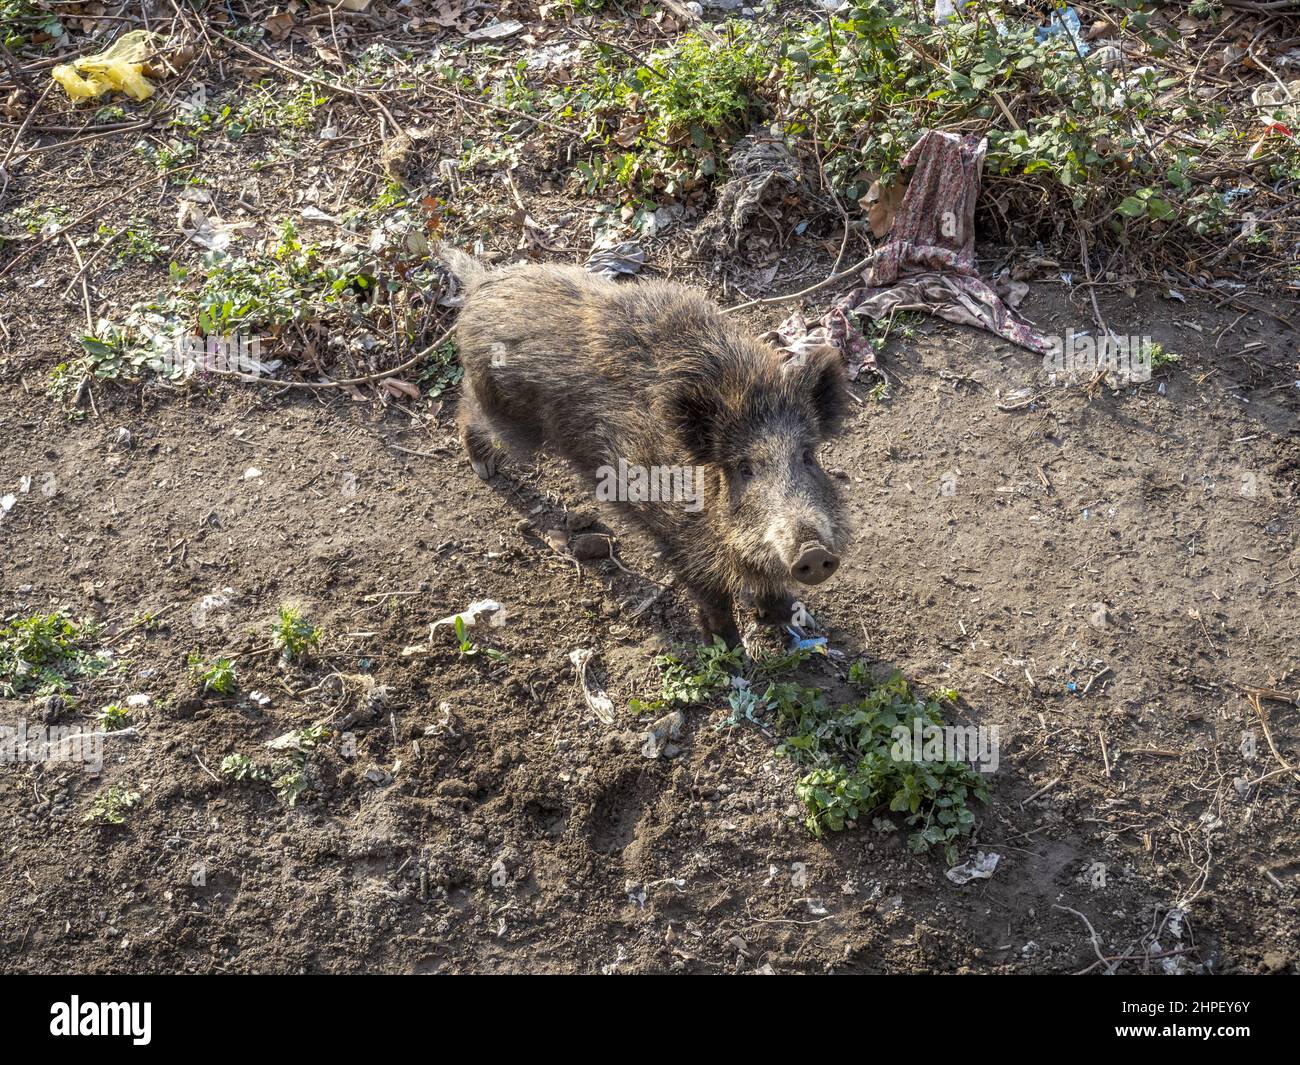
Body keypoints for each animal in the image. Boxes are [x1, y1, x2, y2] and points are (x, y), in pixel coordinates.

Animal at [439, 245, 847, 646]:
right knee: (470, 412)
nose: (813, 552)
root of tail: (481, 282)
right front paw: (727, 645)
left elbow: (767, 584)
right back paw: (484, 468)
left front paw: (799, 622)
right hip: (510, 419)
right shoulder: (675, 532)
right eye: (744, 468)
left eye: (807, 455)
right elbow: (711, 592)